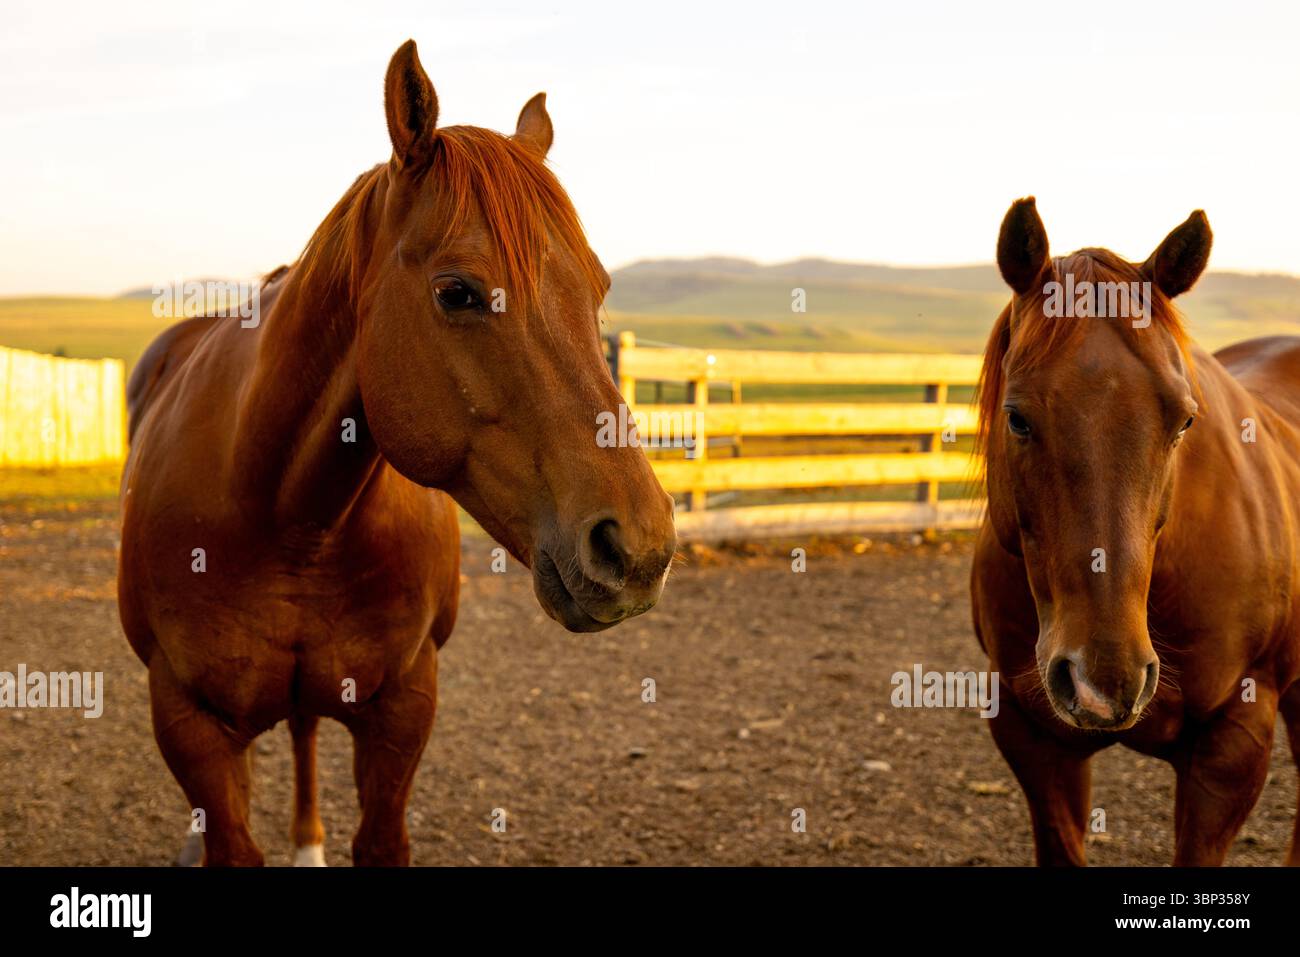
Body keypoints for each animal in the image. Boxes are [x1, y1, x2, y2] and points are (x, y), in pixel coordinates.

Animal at [117, 40, 677, 867]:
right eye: (458, 293)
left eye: (599, 286)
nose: (638, 545)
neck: (288, 517)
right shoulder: (187, 720)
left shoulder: (405, 704)